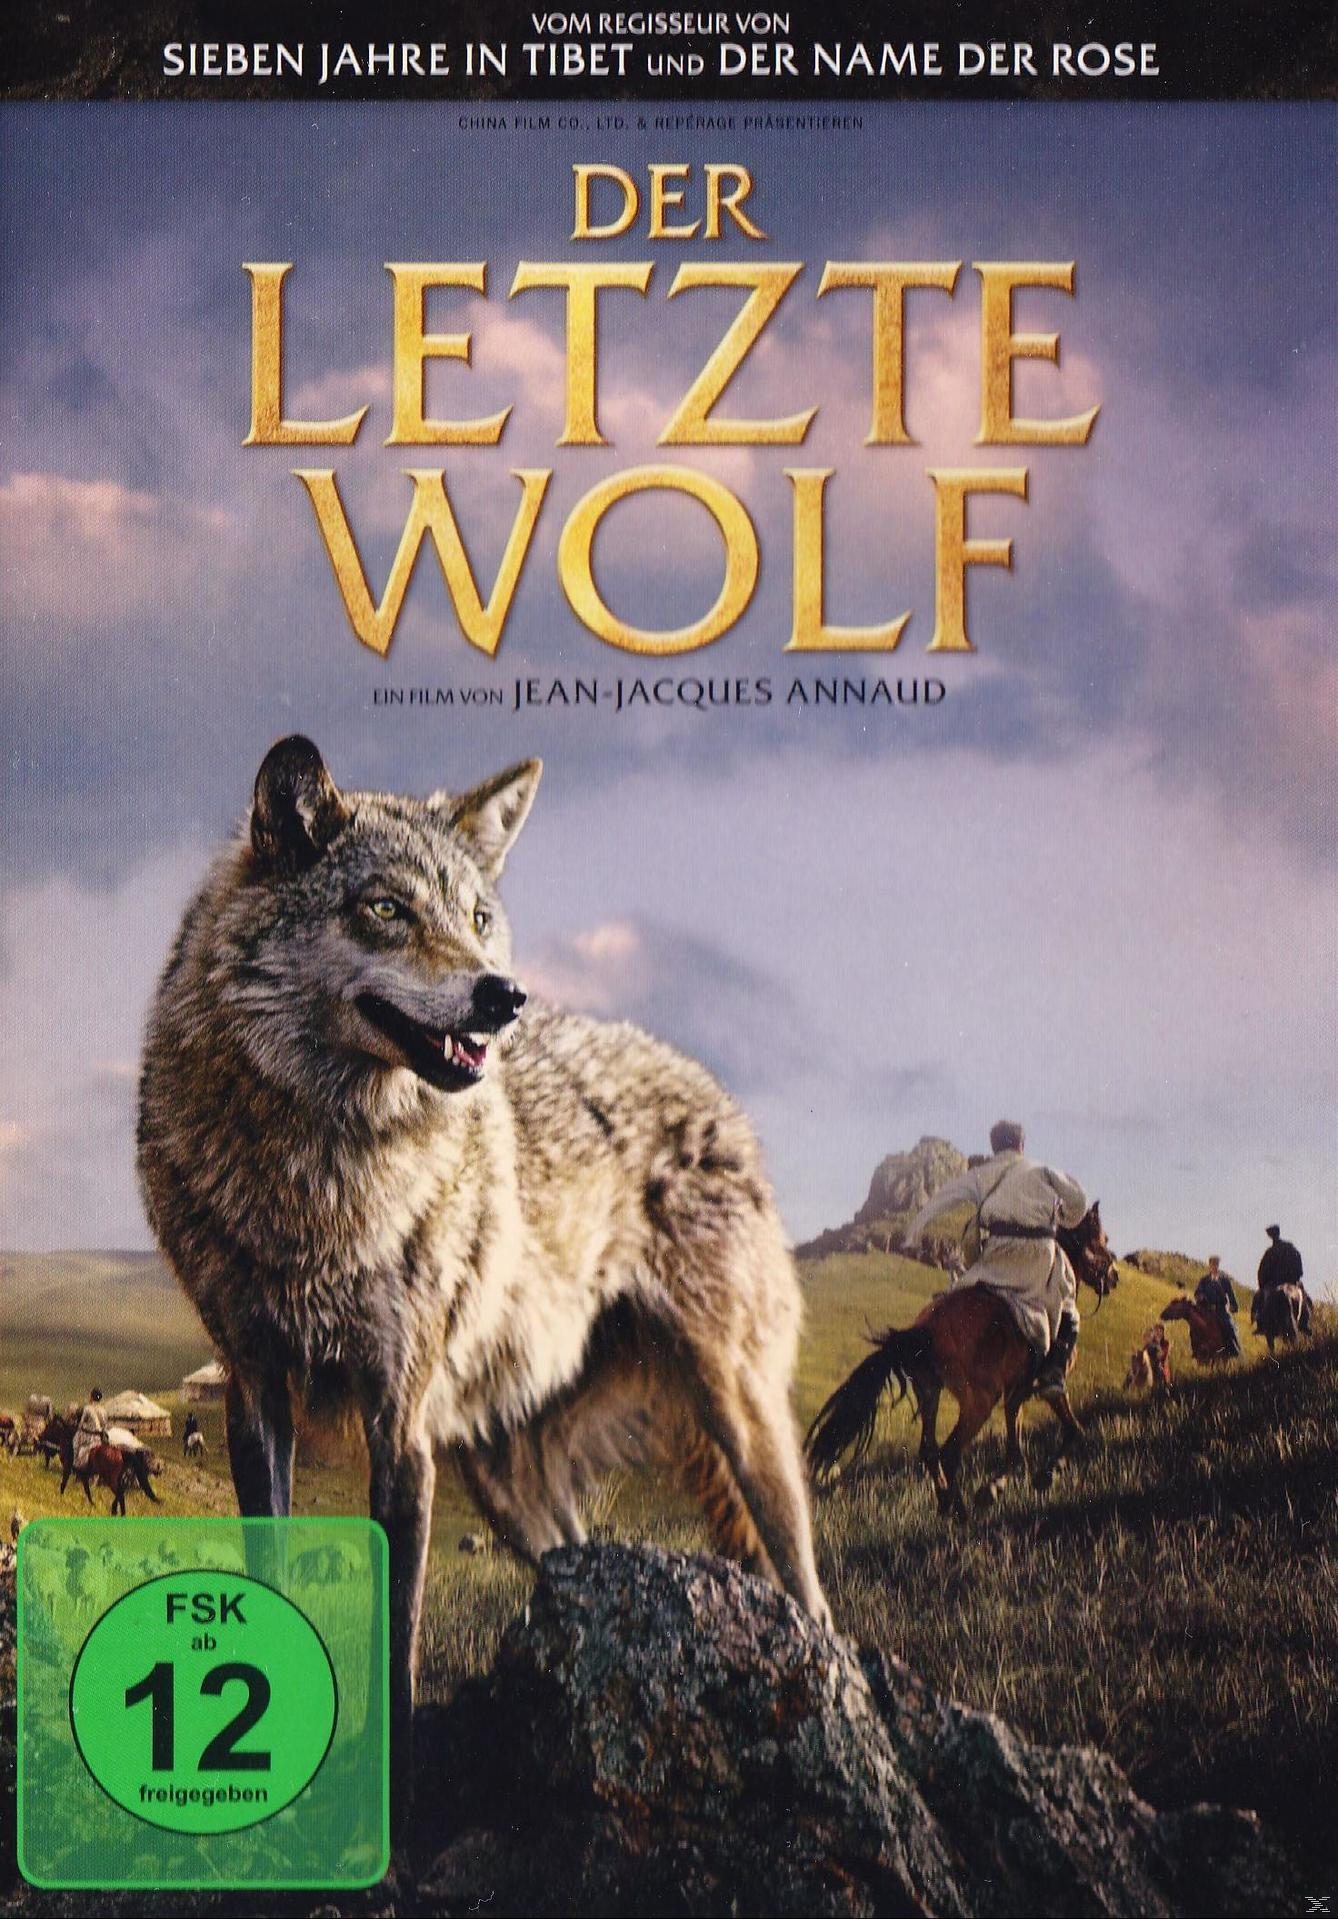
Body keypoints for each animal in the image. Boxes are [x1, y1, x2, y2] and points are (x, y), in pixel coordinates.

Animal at [137, 735, 829, 1802]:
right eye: (386, 908)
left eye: (476, 918)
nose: (503, 996)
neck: (319, 1175)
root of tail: (714, 1092)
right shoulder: (256, 1391)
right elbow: (271, 1574)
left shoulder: (399, 1422)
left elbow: (399, 1636)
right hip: (512, 1492)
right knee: (583, 1562)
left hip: (740, 1415)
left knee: (812, 1601)